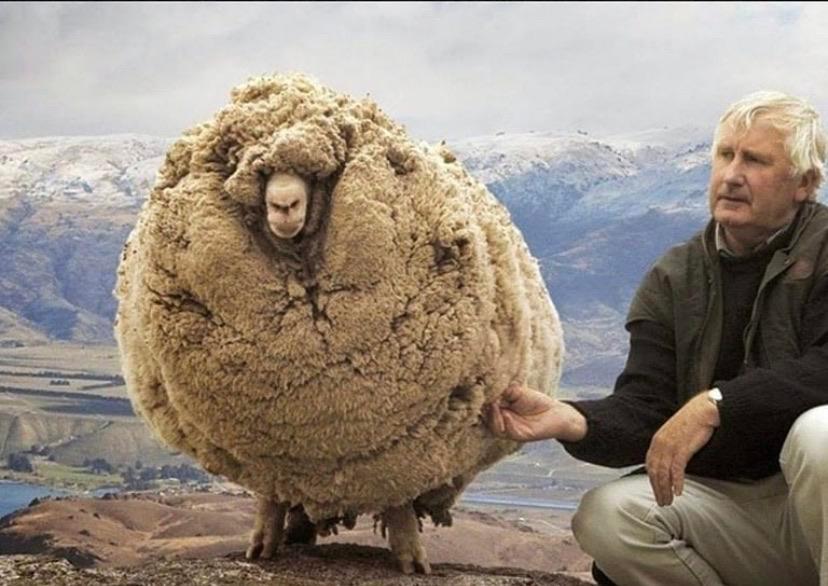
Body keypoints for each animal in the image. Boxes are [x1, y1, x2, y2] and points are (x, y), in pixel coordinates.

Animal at [114, 73, 563, 575]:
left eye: (317, 177)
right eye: (257, 173)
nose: (284, 205)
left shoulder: (408, 446)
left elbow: (399, 501)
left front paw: (410, 556)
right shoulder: (267, 449)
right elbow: (269, 494)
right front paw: (262, 543)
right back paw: (294, 531)